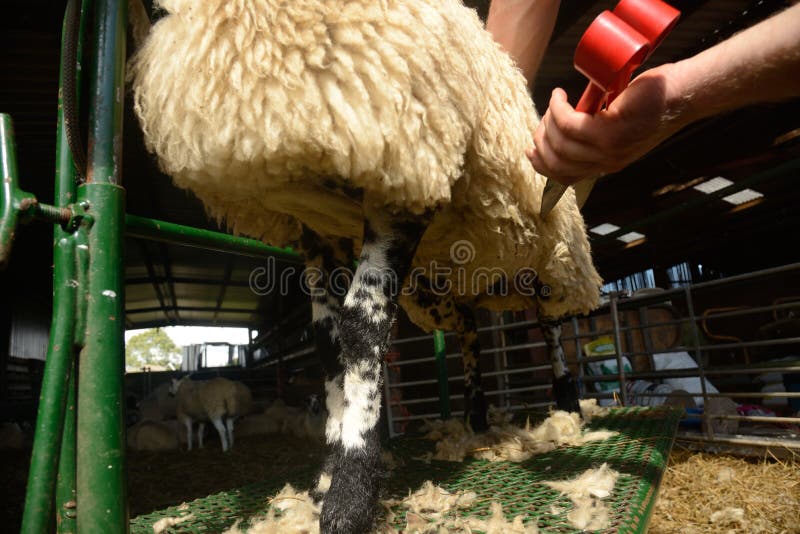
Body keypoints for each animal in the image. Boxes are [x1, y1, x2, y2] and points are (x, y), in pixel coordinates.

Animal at [130, 1, 602, 531]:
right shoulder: (314, 228)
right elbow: (329, 345)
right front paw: (326, 477)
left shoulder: (404, 171)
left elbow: (361, 328)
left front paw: (351, 492)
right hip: (441, 288)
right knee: (469, 330)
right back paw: (477, 415)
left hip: (551, 262)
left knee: (550, 327)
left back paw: (566, 403)